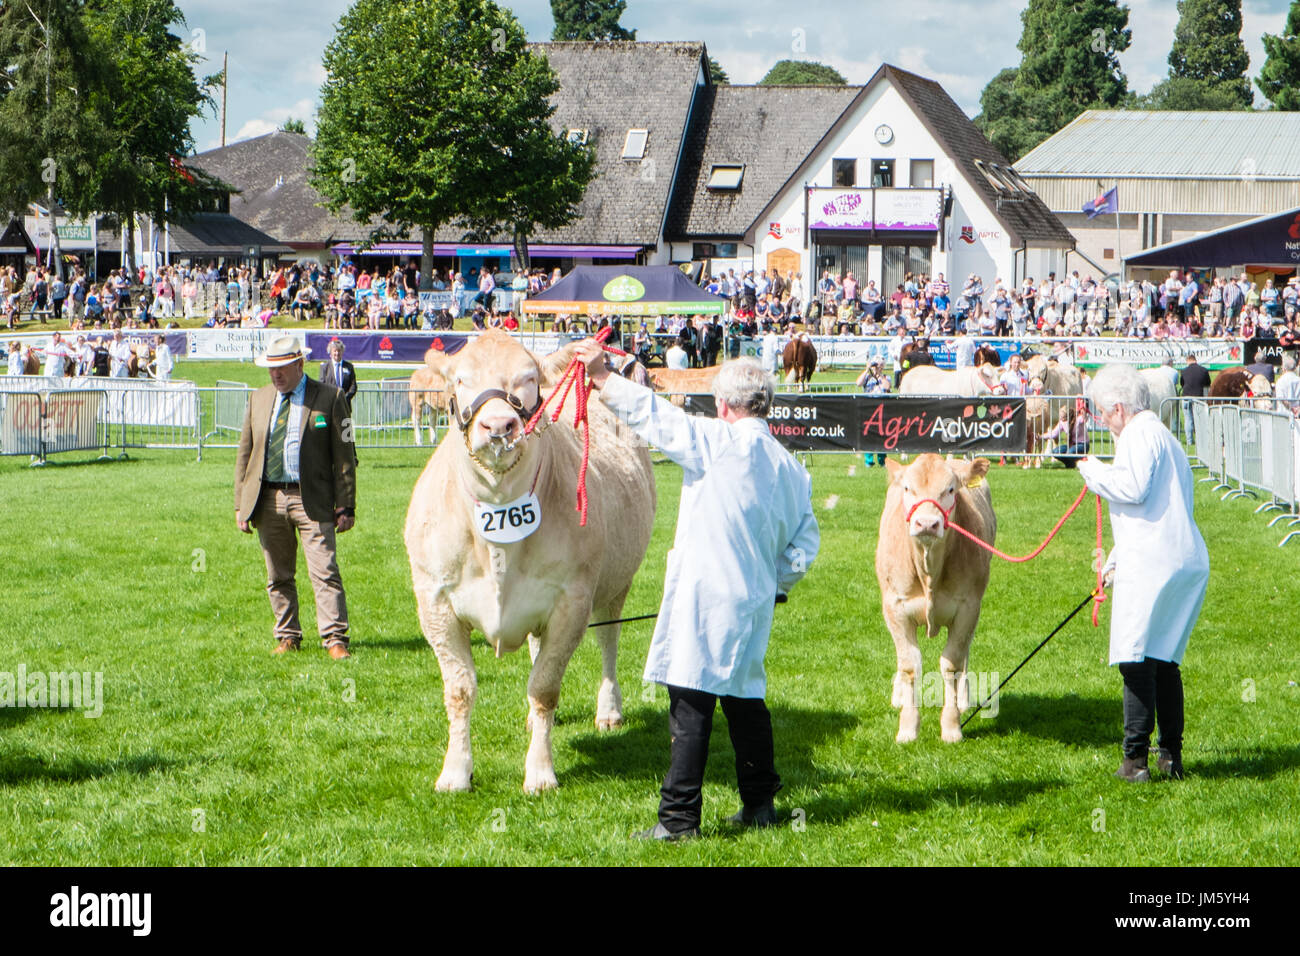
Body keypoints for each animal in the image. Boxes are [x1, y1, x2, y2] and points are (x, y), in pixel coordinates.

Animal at [404, 330, 656, 793]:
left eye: (529, 378)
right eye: (460, 380)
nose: (499, 426)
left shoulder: (572, 601)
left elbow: (545, 686)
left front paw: (540, 772)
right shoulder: (434, 602)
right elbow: (460, 690)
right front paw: (455, 771)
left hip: (616, 583)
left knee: (608, 642)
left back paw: (609, 710)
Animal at [875, 454, 996, 743]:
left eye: (950, 489)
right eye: (908, 488)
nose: (927, 524)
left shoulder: (968, 608)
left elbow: (952, 663)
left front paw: (952, 726)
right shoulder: (895, 608)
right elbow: (909, 665)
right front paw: (908, 727)